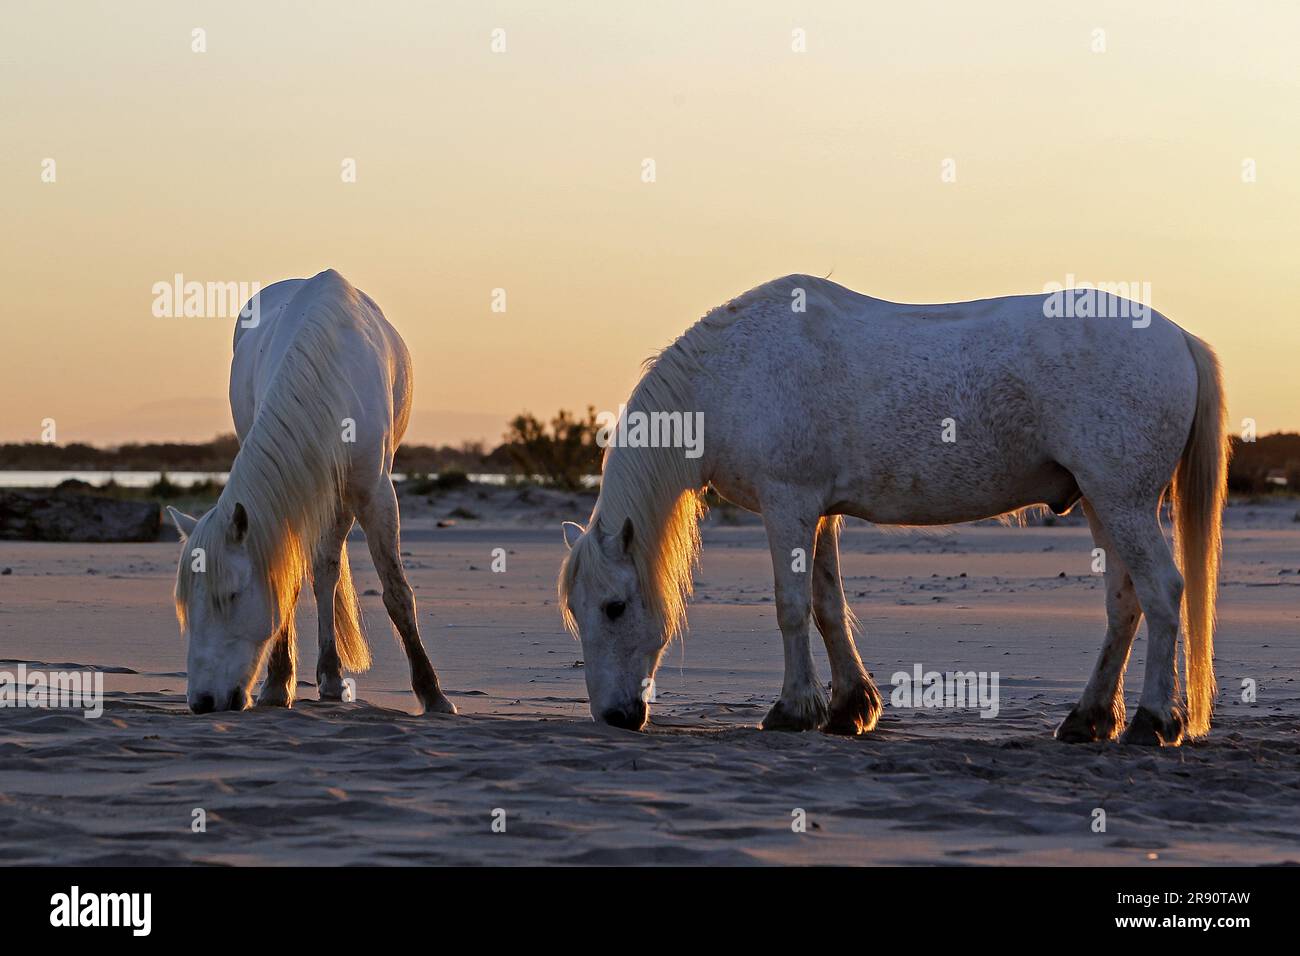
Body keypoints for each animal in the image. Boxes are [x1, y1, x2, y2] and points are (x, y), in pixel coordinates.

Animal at [167, 269, 455, 716]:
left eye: (231, 595)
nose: (202, 701)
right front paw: (277, 684)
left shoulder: (375, 494)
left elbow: (396, 592)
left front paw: (433, 693)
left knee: (326, 571)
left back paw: (333, 678)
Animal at [559, 275, 1228, 747]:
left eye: (615, 607)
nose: (615, 716)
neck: (733, 373)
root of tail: (1178, 337)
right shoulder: (819, 512)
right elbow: (828, 606)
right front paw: (849, 708)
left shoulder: (787, 503)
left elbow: (791, 607)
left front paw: (793, 709)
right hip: (1101, 501)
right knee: (1125, 604)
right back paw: (1088, 719)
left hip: (1123, 502)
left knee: (1163, 592)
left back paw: (1151, 721)